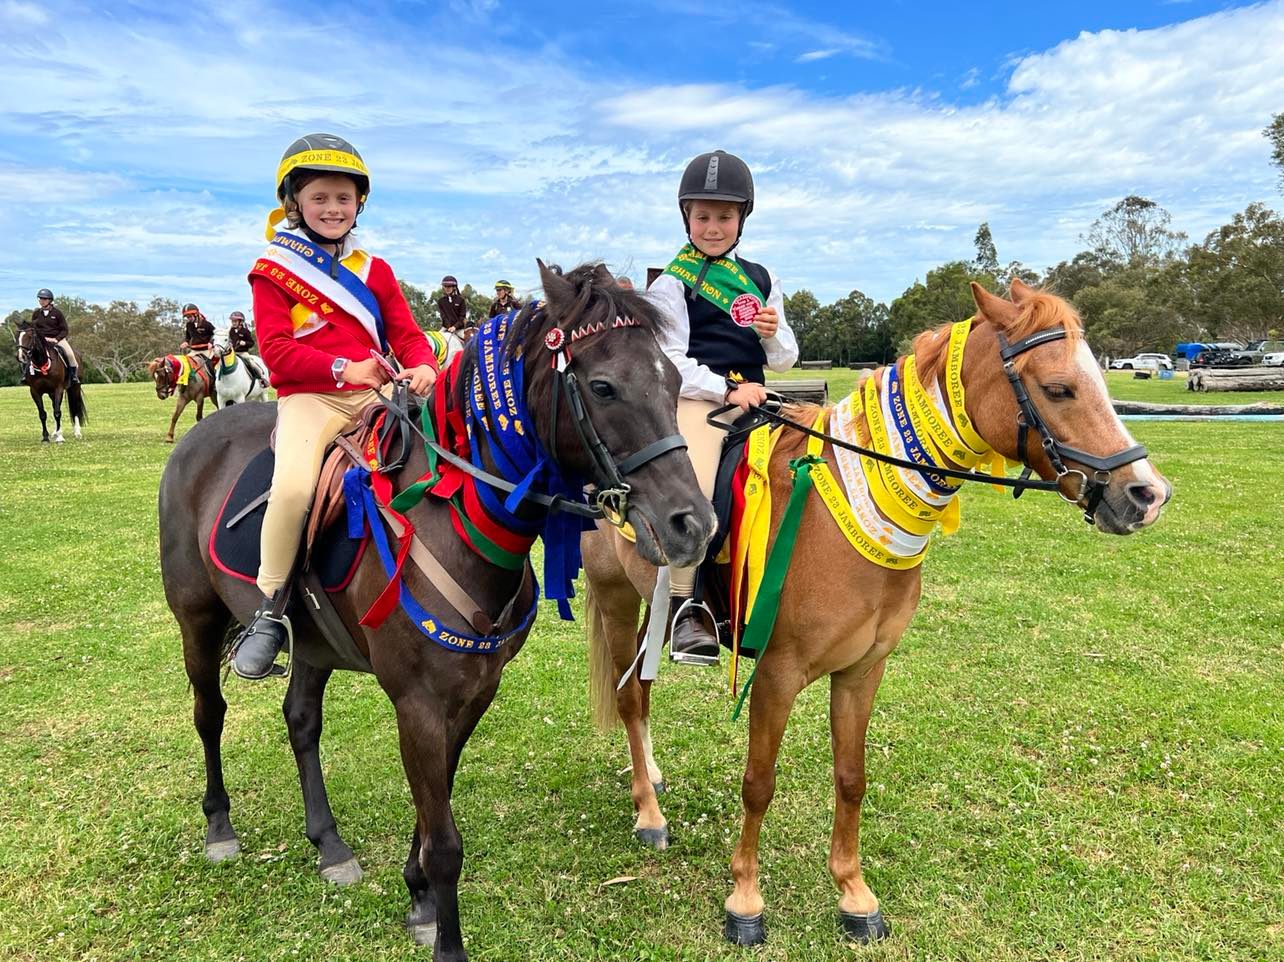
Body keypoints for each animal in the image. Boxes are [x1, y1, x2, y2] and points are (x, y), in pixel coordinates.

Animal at [157, 262, 714, 962]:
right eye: (604, 386)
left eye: (672, 379)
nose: (693, 525)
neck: (452, 520)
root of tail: (195, 441)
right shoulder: (417, 702)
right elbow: (446, 838)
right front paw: (443, 932)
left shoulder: (474, 691)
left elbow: (434, 805)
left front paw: (417, 893)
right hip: (197, 622)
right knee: (209, 715)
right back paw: (220, 828)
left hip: (312, 645)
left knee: (301, 721)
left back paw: (329, 844)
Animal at [581, 279, 1172, 946]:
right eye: (1059, 389)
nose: (1148, 495)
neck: (843, 505)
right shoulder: (776, 675)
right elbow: (758, 784)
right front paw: (745, 900)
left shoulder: (863, 671)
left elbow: (851, 777)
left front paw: (854, 894)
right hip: (616, 598)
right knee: (631, 699)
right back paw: (649, 814)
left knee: (643, 689)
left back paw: (652, 778)